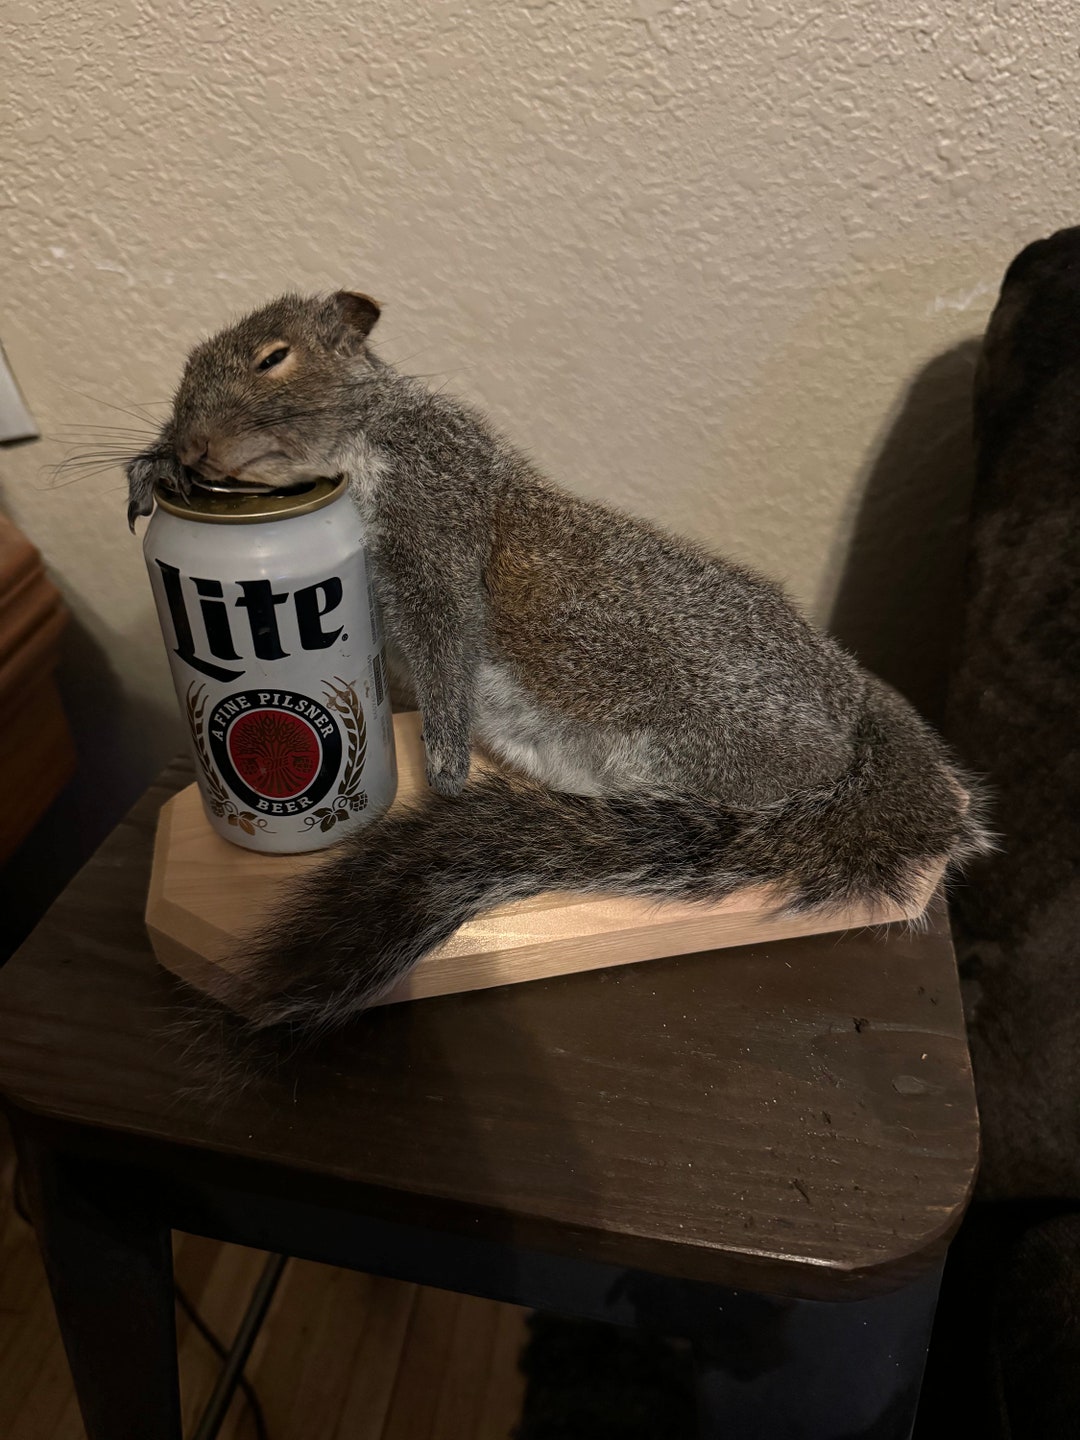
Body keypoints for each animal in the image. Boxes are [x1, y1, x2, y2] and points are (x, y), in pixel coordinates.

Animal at [126, 290, 990, 1034]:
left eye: (274, 357)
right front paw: (152, 469)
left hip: (715, 736)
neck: (373, 437)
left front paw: (443, 770)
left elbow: (445, 643)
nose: (194, 444)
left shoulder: (437, 525)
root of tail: (854, 714)